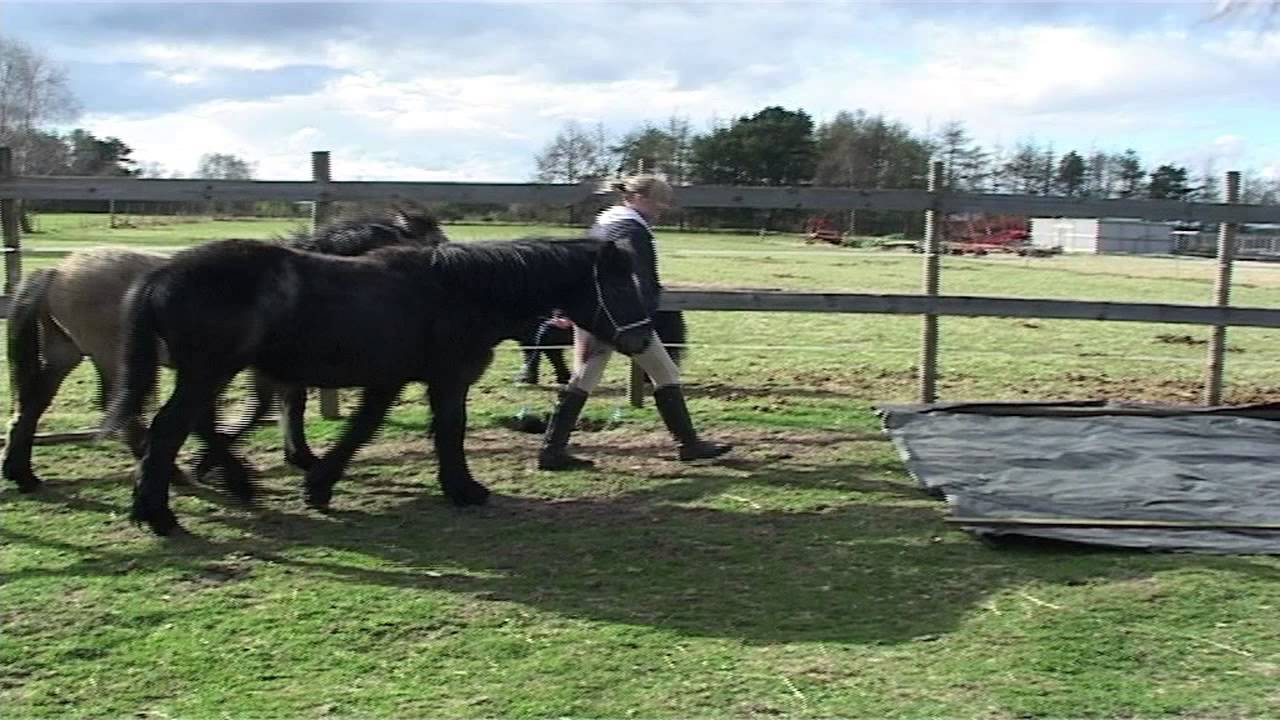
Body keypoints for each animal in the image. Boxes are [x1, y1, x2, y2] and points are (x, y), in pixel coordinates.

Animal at [2, 210, 447, 492]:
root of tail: (56, 271)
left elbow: (281, 406)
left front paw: (298, 457)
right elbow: (260, 410)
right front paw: (216, 465)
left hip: (68, 352)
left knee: (35, 402)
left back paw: (23, 475)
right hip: (111, 357)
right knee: (123, 412)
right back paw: (179, 474)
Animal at [102, 236, 654, 536]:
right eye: (617, 285)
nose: (643, 338)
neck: (458, 291)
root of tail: (161, 274)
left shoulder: (388, 381)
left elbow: (361, 431)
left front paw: (318, 485)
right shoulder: (448, 380)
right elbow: (449, 432)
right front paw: (465, 490)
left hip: (210, 373)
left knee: (190, 424)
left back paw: (225, 485)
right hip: (208, 372)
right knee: (170, 429)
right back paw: (161, 515)